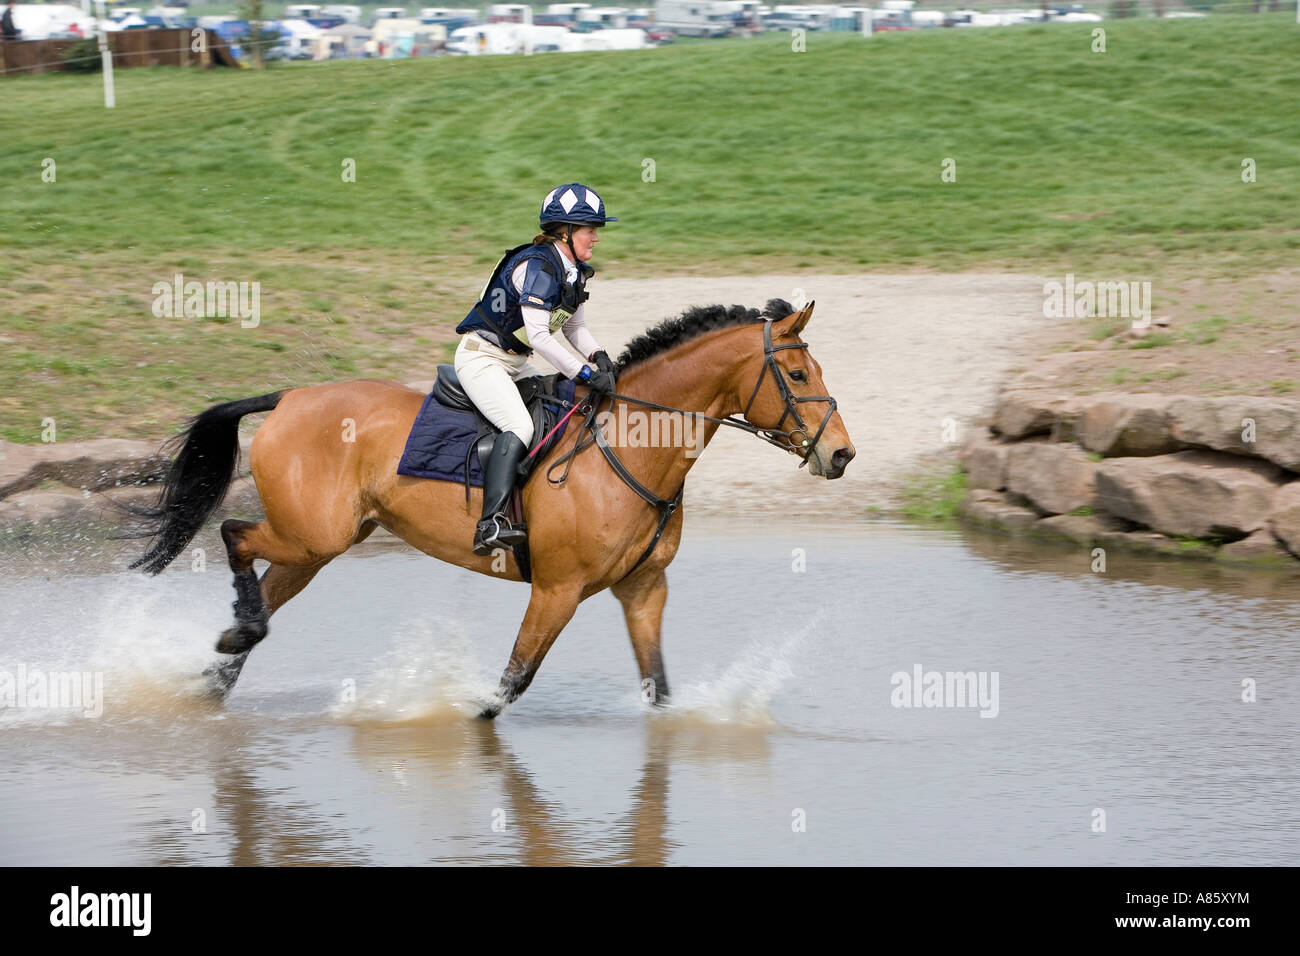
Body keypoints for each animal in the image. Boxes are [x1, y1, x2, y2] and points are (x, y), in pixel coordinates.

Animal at [127, 298, 855, 718]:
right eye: (797, 376)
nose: (842, 455)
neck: (631, 447)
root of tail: (289, 397)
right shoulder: (558, 590)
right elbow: (507, 687)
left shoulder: (644, 589)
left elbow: (659, 689)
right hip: (313, 536)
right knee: (234, 533)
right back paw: (235, 636)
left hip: (318, 546)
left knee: (263, 587)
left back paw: (222, 661)